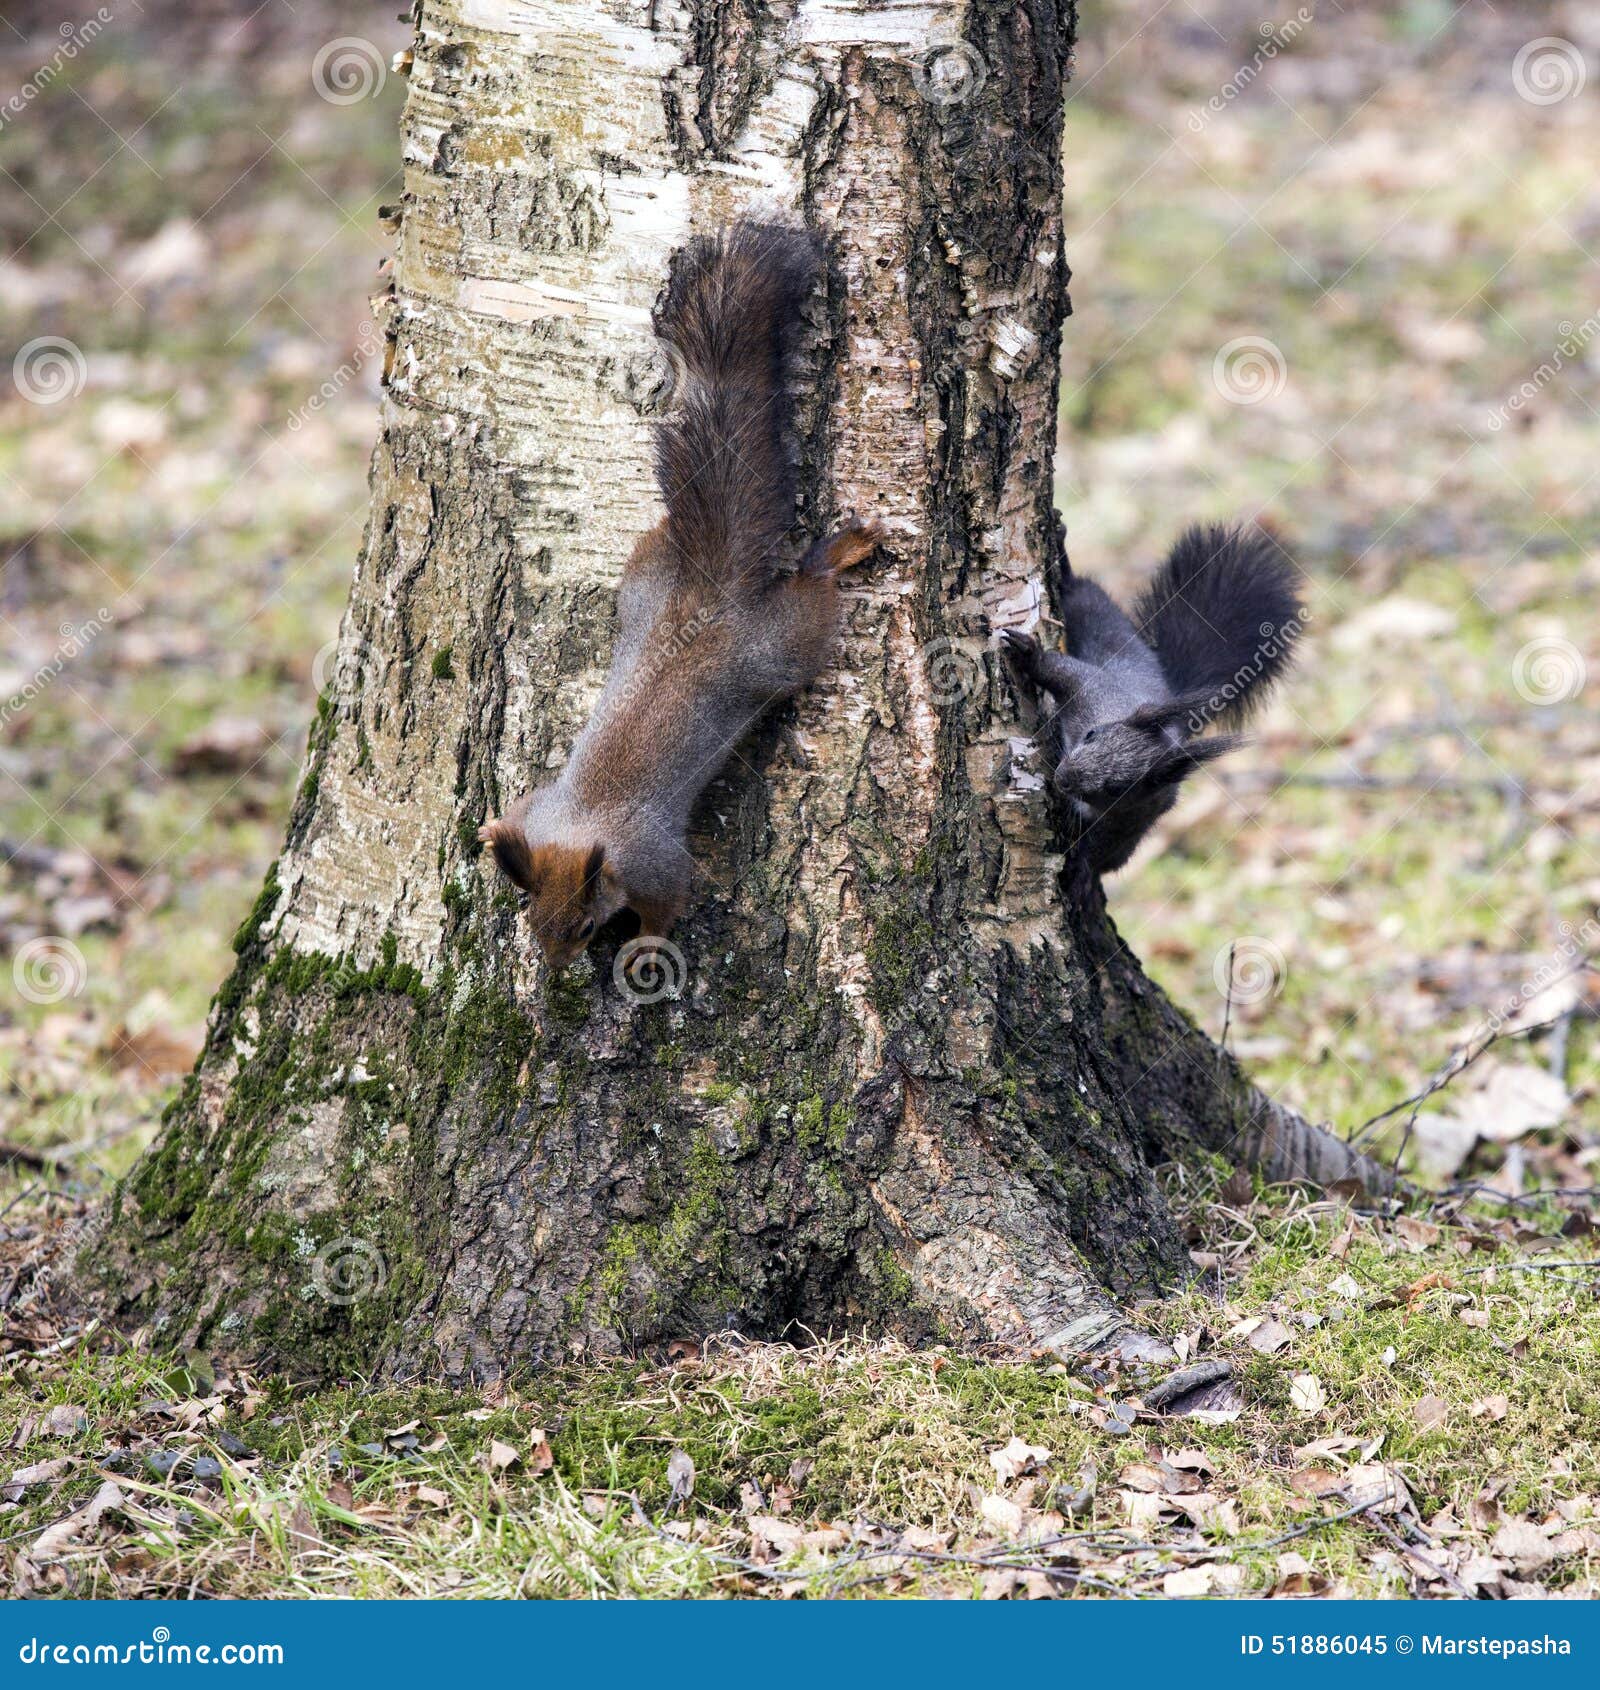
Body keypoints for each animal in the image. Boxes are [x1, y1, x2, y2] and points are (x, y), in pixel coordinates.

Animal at [479, 221, 882, 969]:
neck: (582, 831)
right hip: (643, 582)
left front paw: (644, 950)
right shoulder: (542, 813)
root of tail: (708, 595)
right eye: (529, 914)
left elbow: (668, 905)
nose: (554, 966)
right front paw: (490, 829)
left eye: (585, 928)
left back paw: (838, 555)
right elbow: (516, 814)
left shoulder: (655, 864)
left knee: (812, 598)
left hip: (781, 647)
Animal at [1001, 523, 1301, 875]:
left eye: (1117, 788)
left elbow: (1098, 853)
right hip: (1103, 624)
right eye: (1091, 735)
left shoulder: (1134, 816)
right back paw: (1065, 566)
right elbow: (1059, 671)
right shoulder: (1091, 689)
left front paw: (1080, 870)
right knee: (1084, 596)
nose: (1063, 778)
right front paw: (1030, 657)